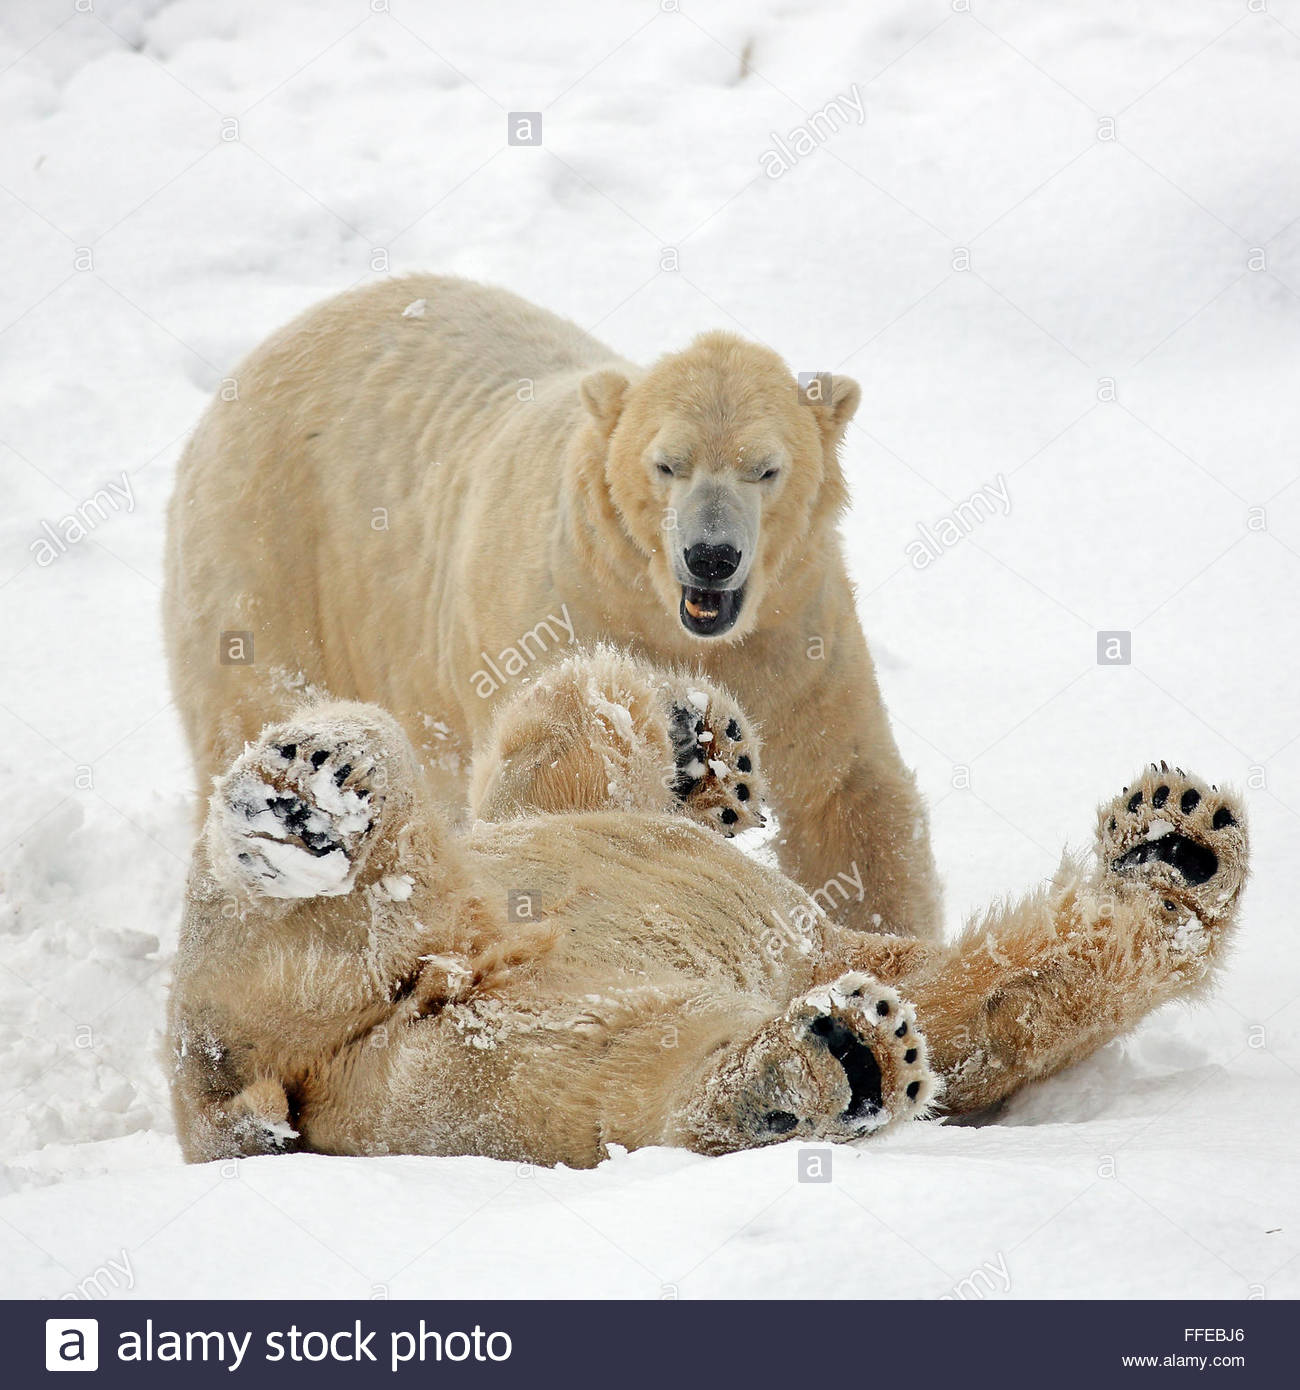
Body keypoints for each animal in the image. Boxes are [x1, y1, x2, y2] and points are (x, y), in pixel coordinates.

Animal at [163, 275, 941, 942]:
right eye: (668, 463)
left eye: (766, 468)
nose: (712, 555)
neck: (662, 612)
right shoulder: (557, 612)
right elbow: (549, 777)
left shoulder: (796, 632)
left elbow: (846, 792)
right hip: (269, 551)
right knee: (255, 705)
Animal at [167, 647, 1248, 1167]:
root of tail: (242, 1096)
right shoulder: (552, 818)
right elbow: (565, 718)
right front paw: (701, 741)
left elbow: (984, 1004)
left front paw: (1179, 841)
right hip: (343, 1037)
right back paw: (305, 795)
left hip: (423, 1073)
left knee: (603, 1054)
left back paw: (838, 1059)